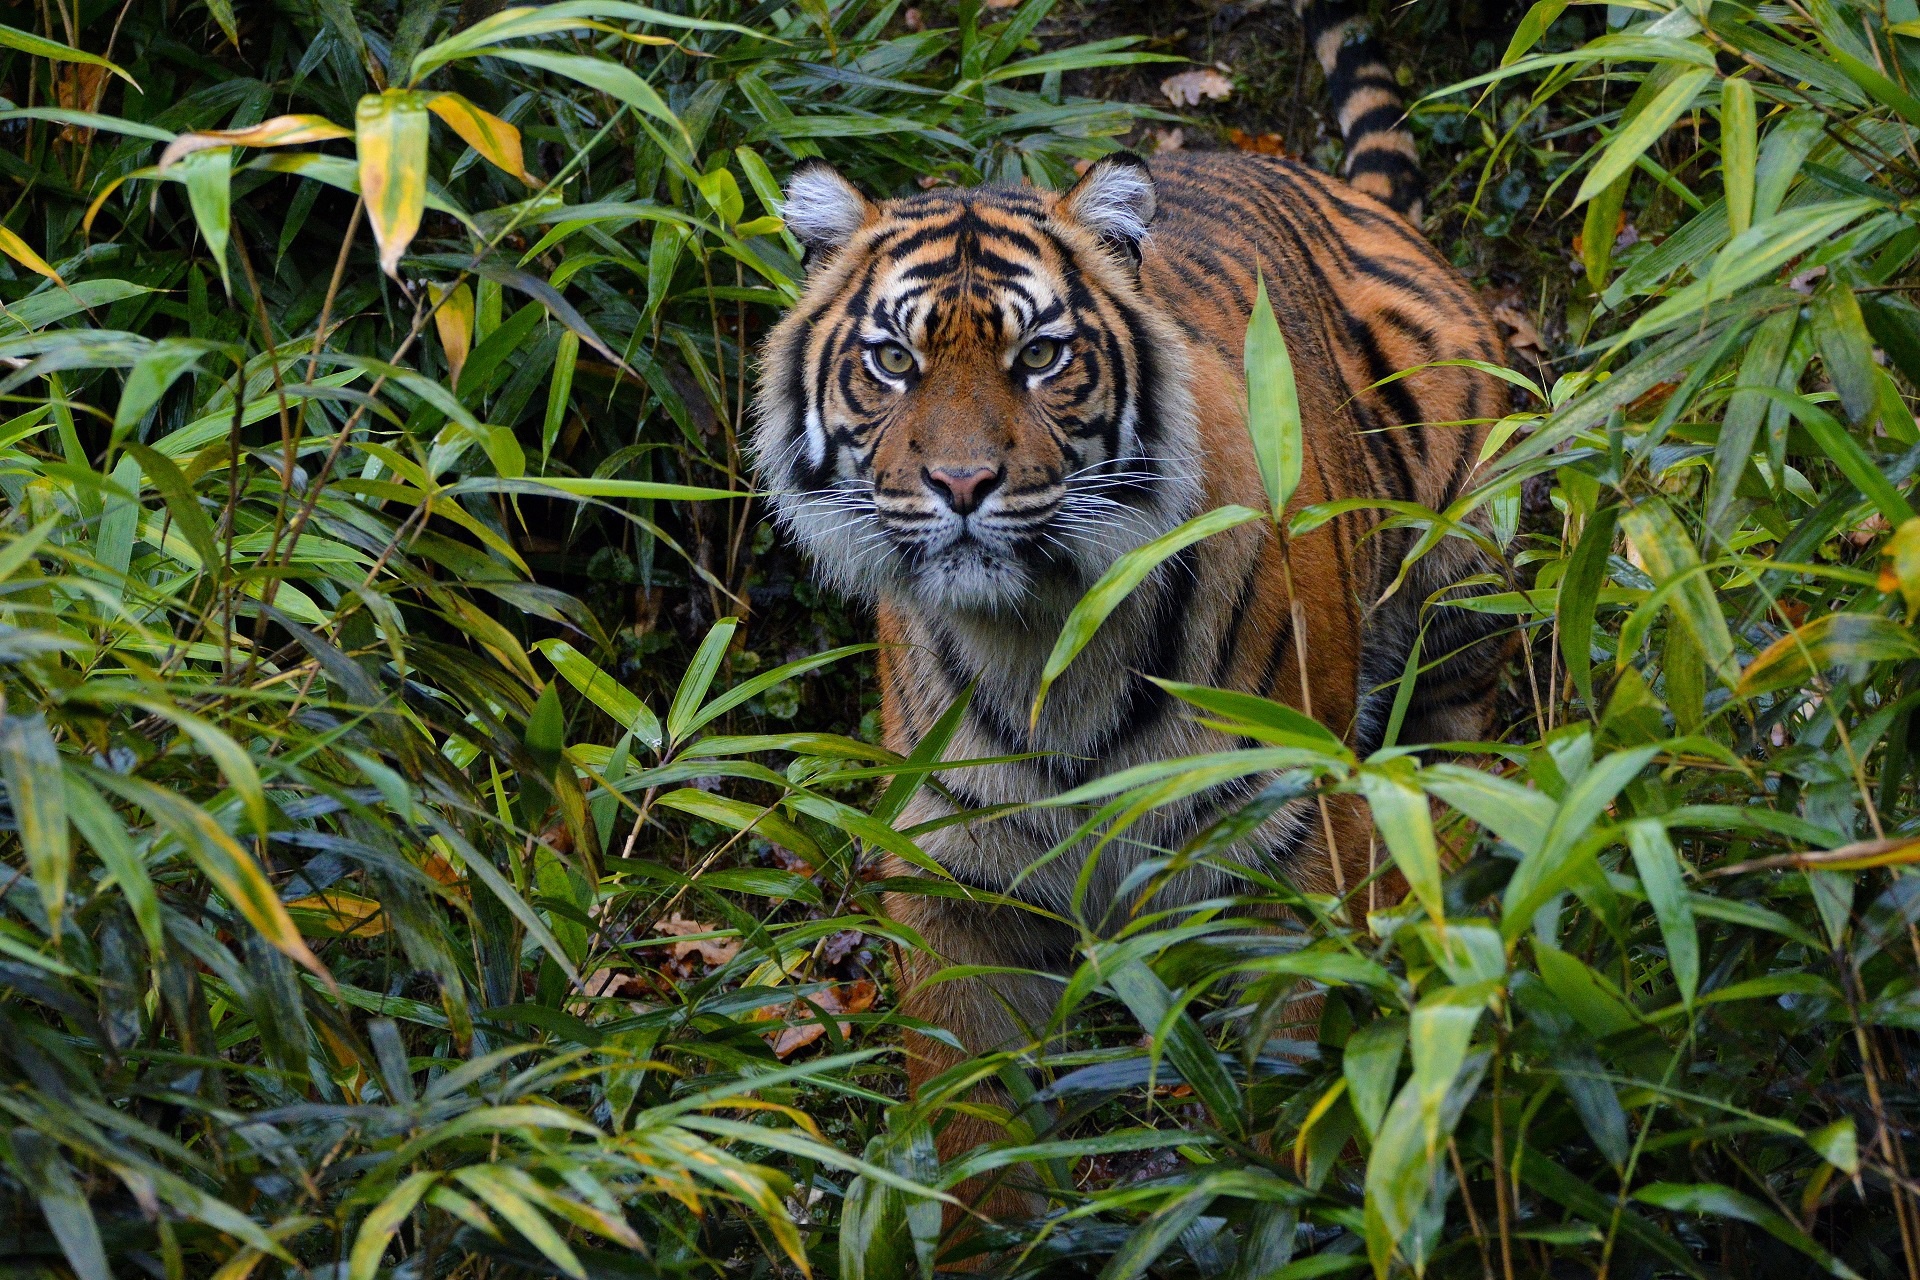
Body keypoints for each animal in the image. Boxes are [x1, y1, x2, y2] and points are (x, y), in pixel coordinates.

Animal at [751, 0, 1510, 1204]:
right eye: (893, 361)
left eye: (1041, 355)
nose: (960, 483)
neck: (1041, 640)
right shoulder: (955, 881)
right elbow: (972, 1135)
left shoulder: (1287, 843)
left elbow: (1300, 1081)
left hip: (1468, 548)